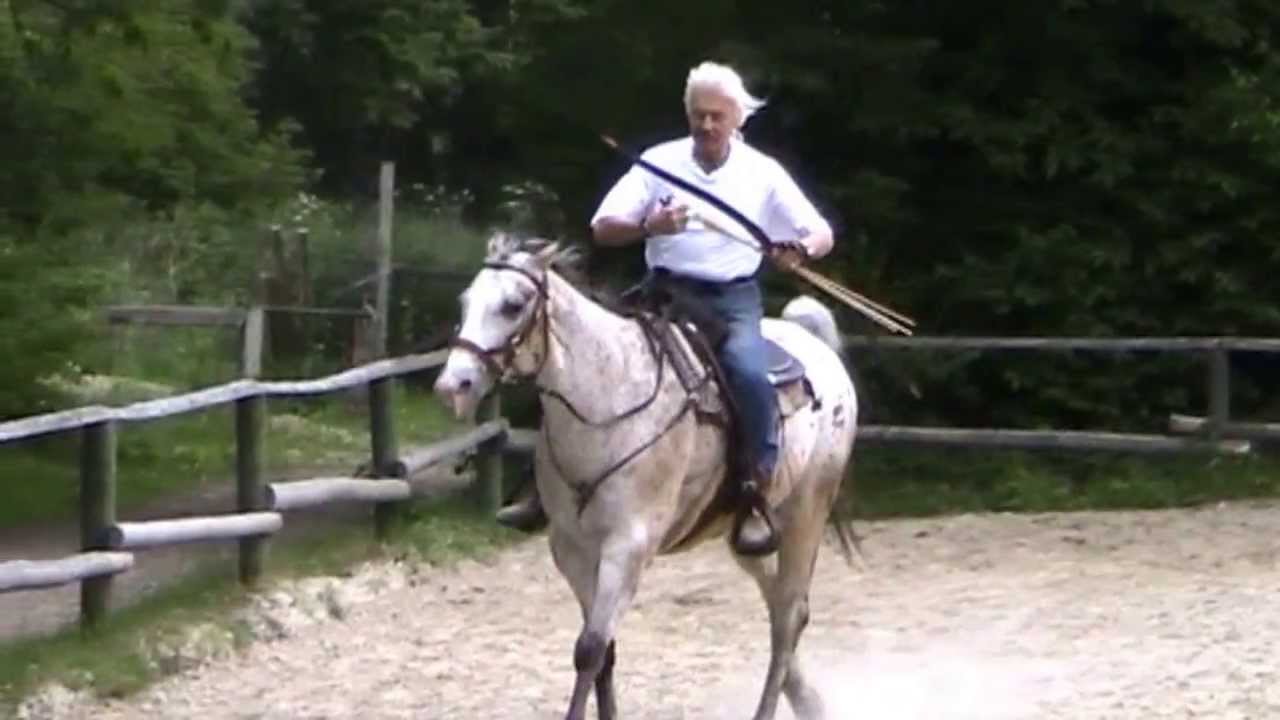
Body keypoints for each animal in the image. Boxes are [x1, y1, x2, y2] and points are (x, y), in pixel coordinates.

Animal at [432, 232, 860, 720]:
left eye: (513, 304)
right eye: (467, 301)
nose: (453, 385)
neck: (608, 398)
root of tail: (816, 346)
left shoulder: (628, 547)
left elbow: (590, 649)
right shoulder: (572, 548)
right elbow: (604, 652)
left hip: (807, 513)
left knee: (788, 616)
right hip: (749, 534)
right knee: (780, 607)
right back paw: (809, 701)